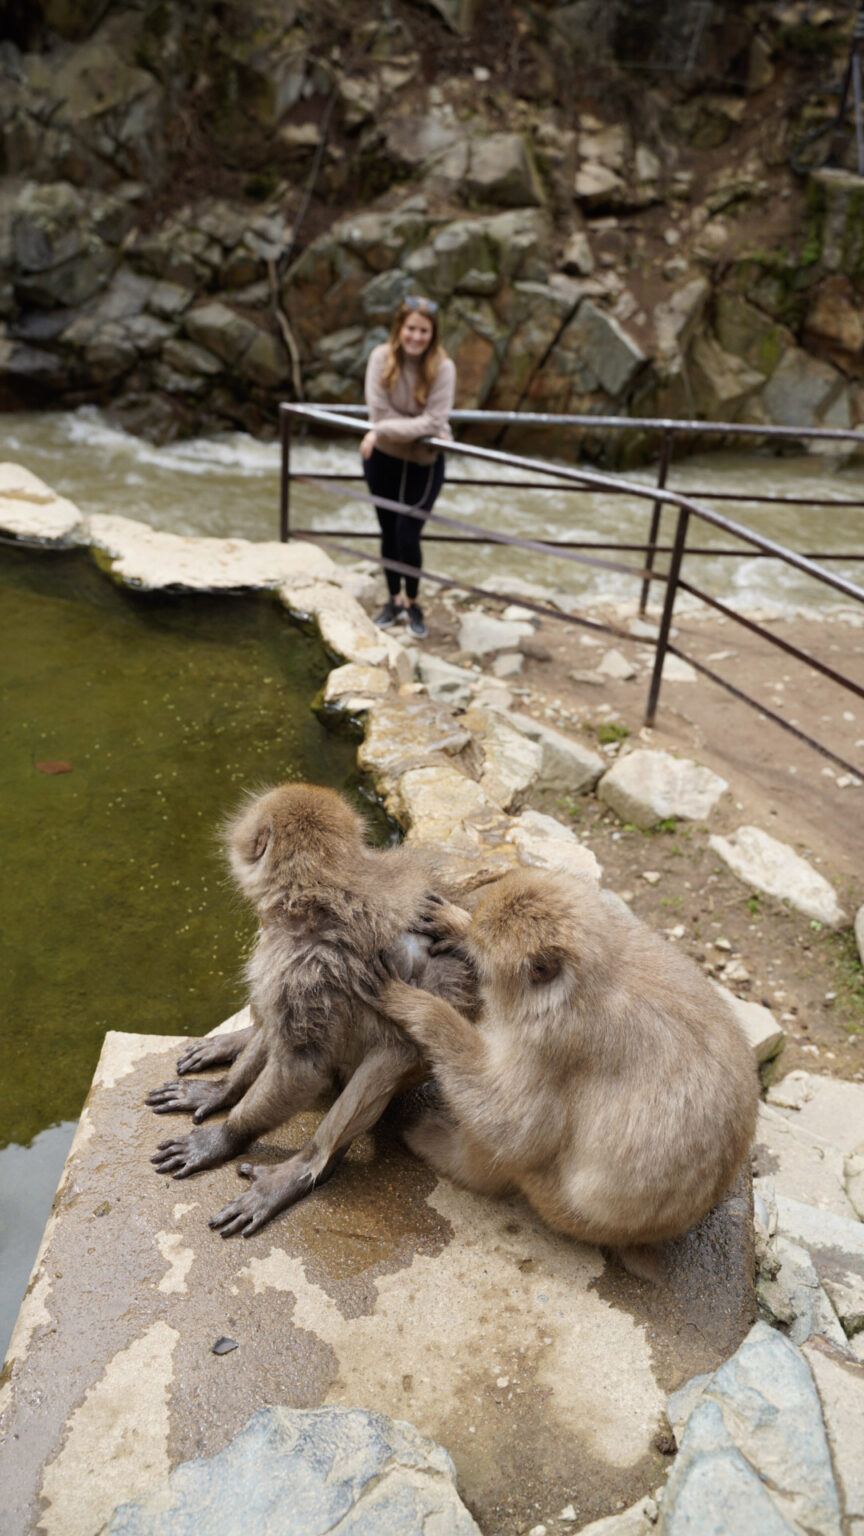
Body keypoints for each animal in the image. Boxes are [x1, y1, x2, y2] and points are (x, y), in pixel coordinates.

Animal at [146, 782, 477, 1238]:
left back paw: (308, 1167)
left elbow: (303, 1066)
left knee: (394, 1052)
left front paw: (227, 1136)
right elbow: (277, 1035)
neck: (316, 893)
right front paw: (222, 1091)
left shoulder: (301, 964)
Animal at [372, 867, 760, 1276]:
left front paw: (422, 1009)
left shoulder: (556, 1042)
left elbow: (514, 1126)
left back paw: (443, 1151)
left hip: (553, 1201)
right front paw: (459, 924)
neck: (587, 982)